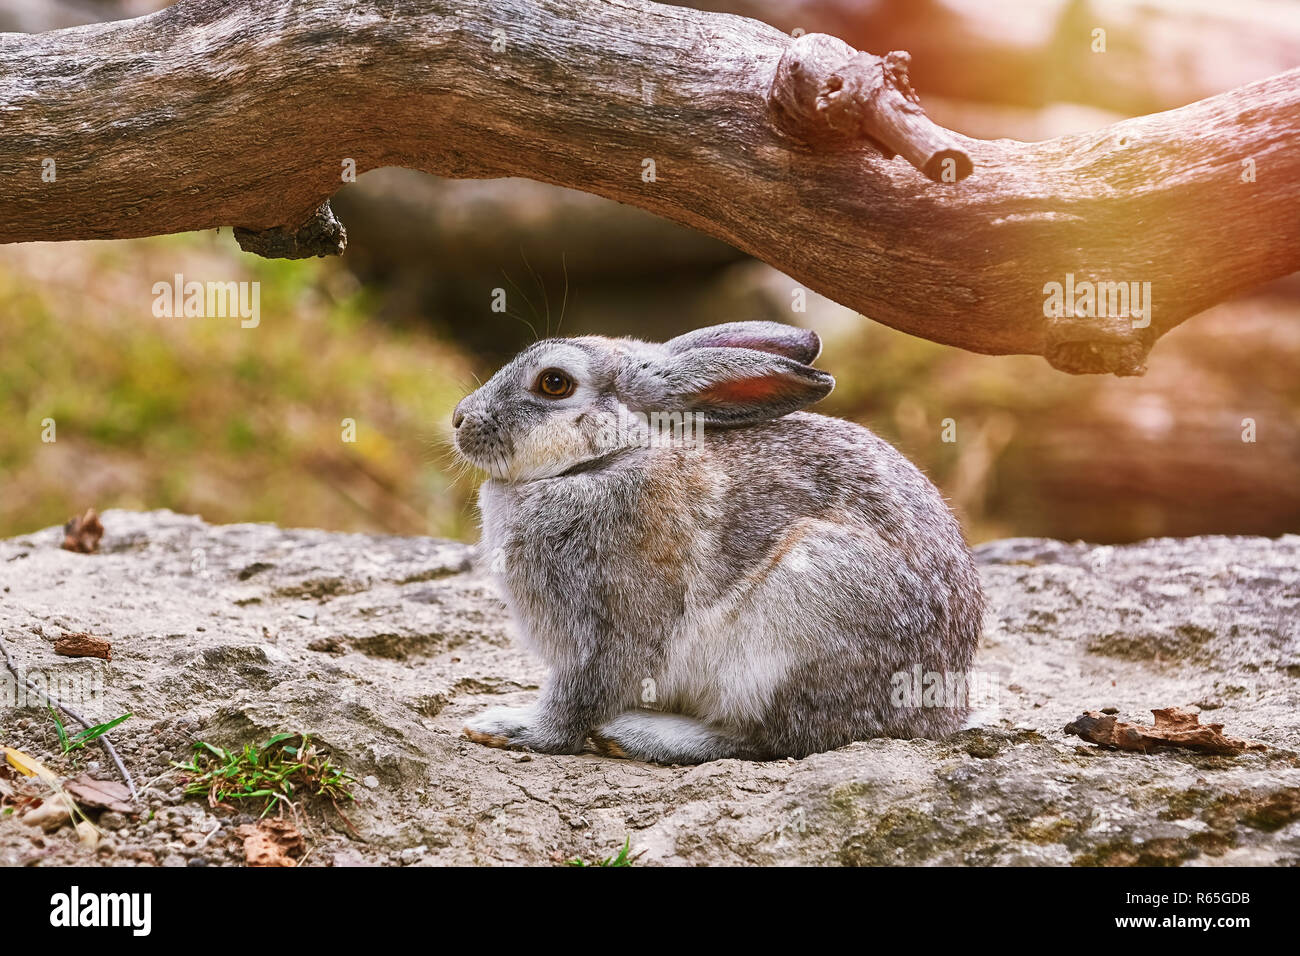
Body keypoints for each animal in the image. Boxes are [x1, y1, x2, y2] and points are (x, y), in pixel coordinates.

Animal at [451, 320, 984, 763]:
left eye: (554, 382)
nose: (458, 418)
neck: (606, 457)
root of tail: (938, 714)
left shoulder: (608, 627)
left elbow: (576, 701)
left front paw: (507, 728)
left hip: (803, 617)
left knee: (773, 738)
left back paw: (638, 736)